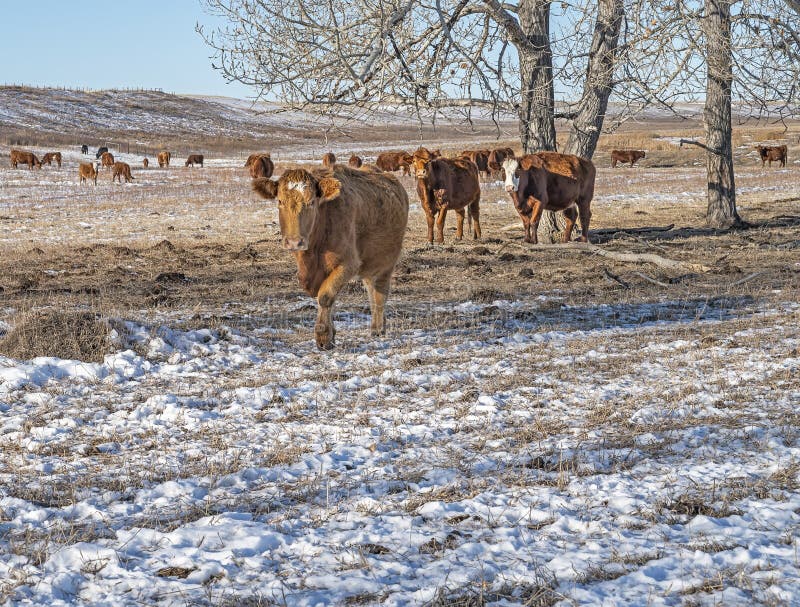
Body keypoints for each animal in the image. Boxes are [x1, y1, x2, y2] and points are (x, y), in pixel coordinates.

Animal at [252, 165, 409, 350]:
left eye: (311, 202)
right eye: (280, 201)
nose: (294, 242)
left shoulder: (348, 264)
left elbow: (326, 296)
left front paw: (323, 336)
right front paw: (331, 334)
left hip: (386, 263)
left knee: (380, 294)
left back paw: (378, 329)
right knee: (371, 289)